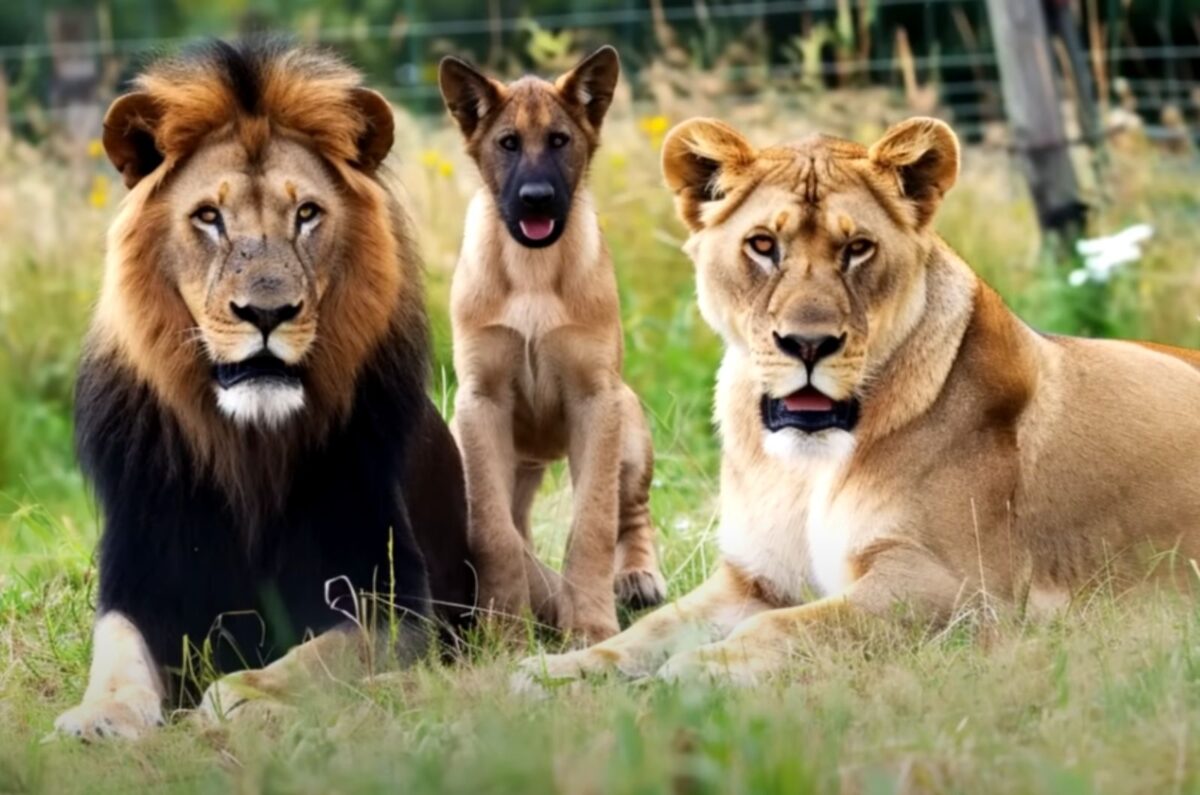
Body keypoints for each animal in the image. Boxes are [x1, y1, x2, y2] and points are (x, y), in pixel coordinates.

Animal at [54, 40, 474, 740]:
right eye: (208, 217)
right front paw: (99, 717)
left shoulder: (392, 600)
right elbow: (117, 656)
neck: (247, 445)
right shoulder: (138, 581)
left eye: (306, 214)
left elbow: (304, 661)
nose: (267, 313)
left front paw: (240, 702)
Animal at [515, 116, 1200, 687]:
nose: (807, 344)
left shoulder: (960, 586)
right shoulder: (755, 577)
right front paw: (562, 668)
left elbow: (787, 625)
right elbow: (652, 627)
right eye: (762, 245)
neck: (802, 468)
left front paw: (705, 667)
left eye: (857, 248)